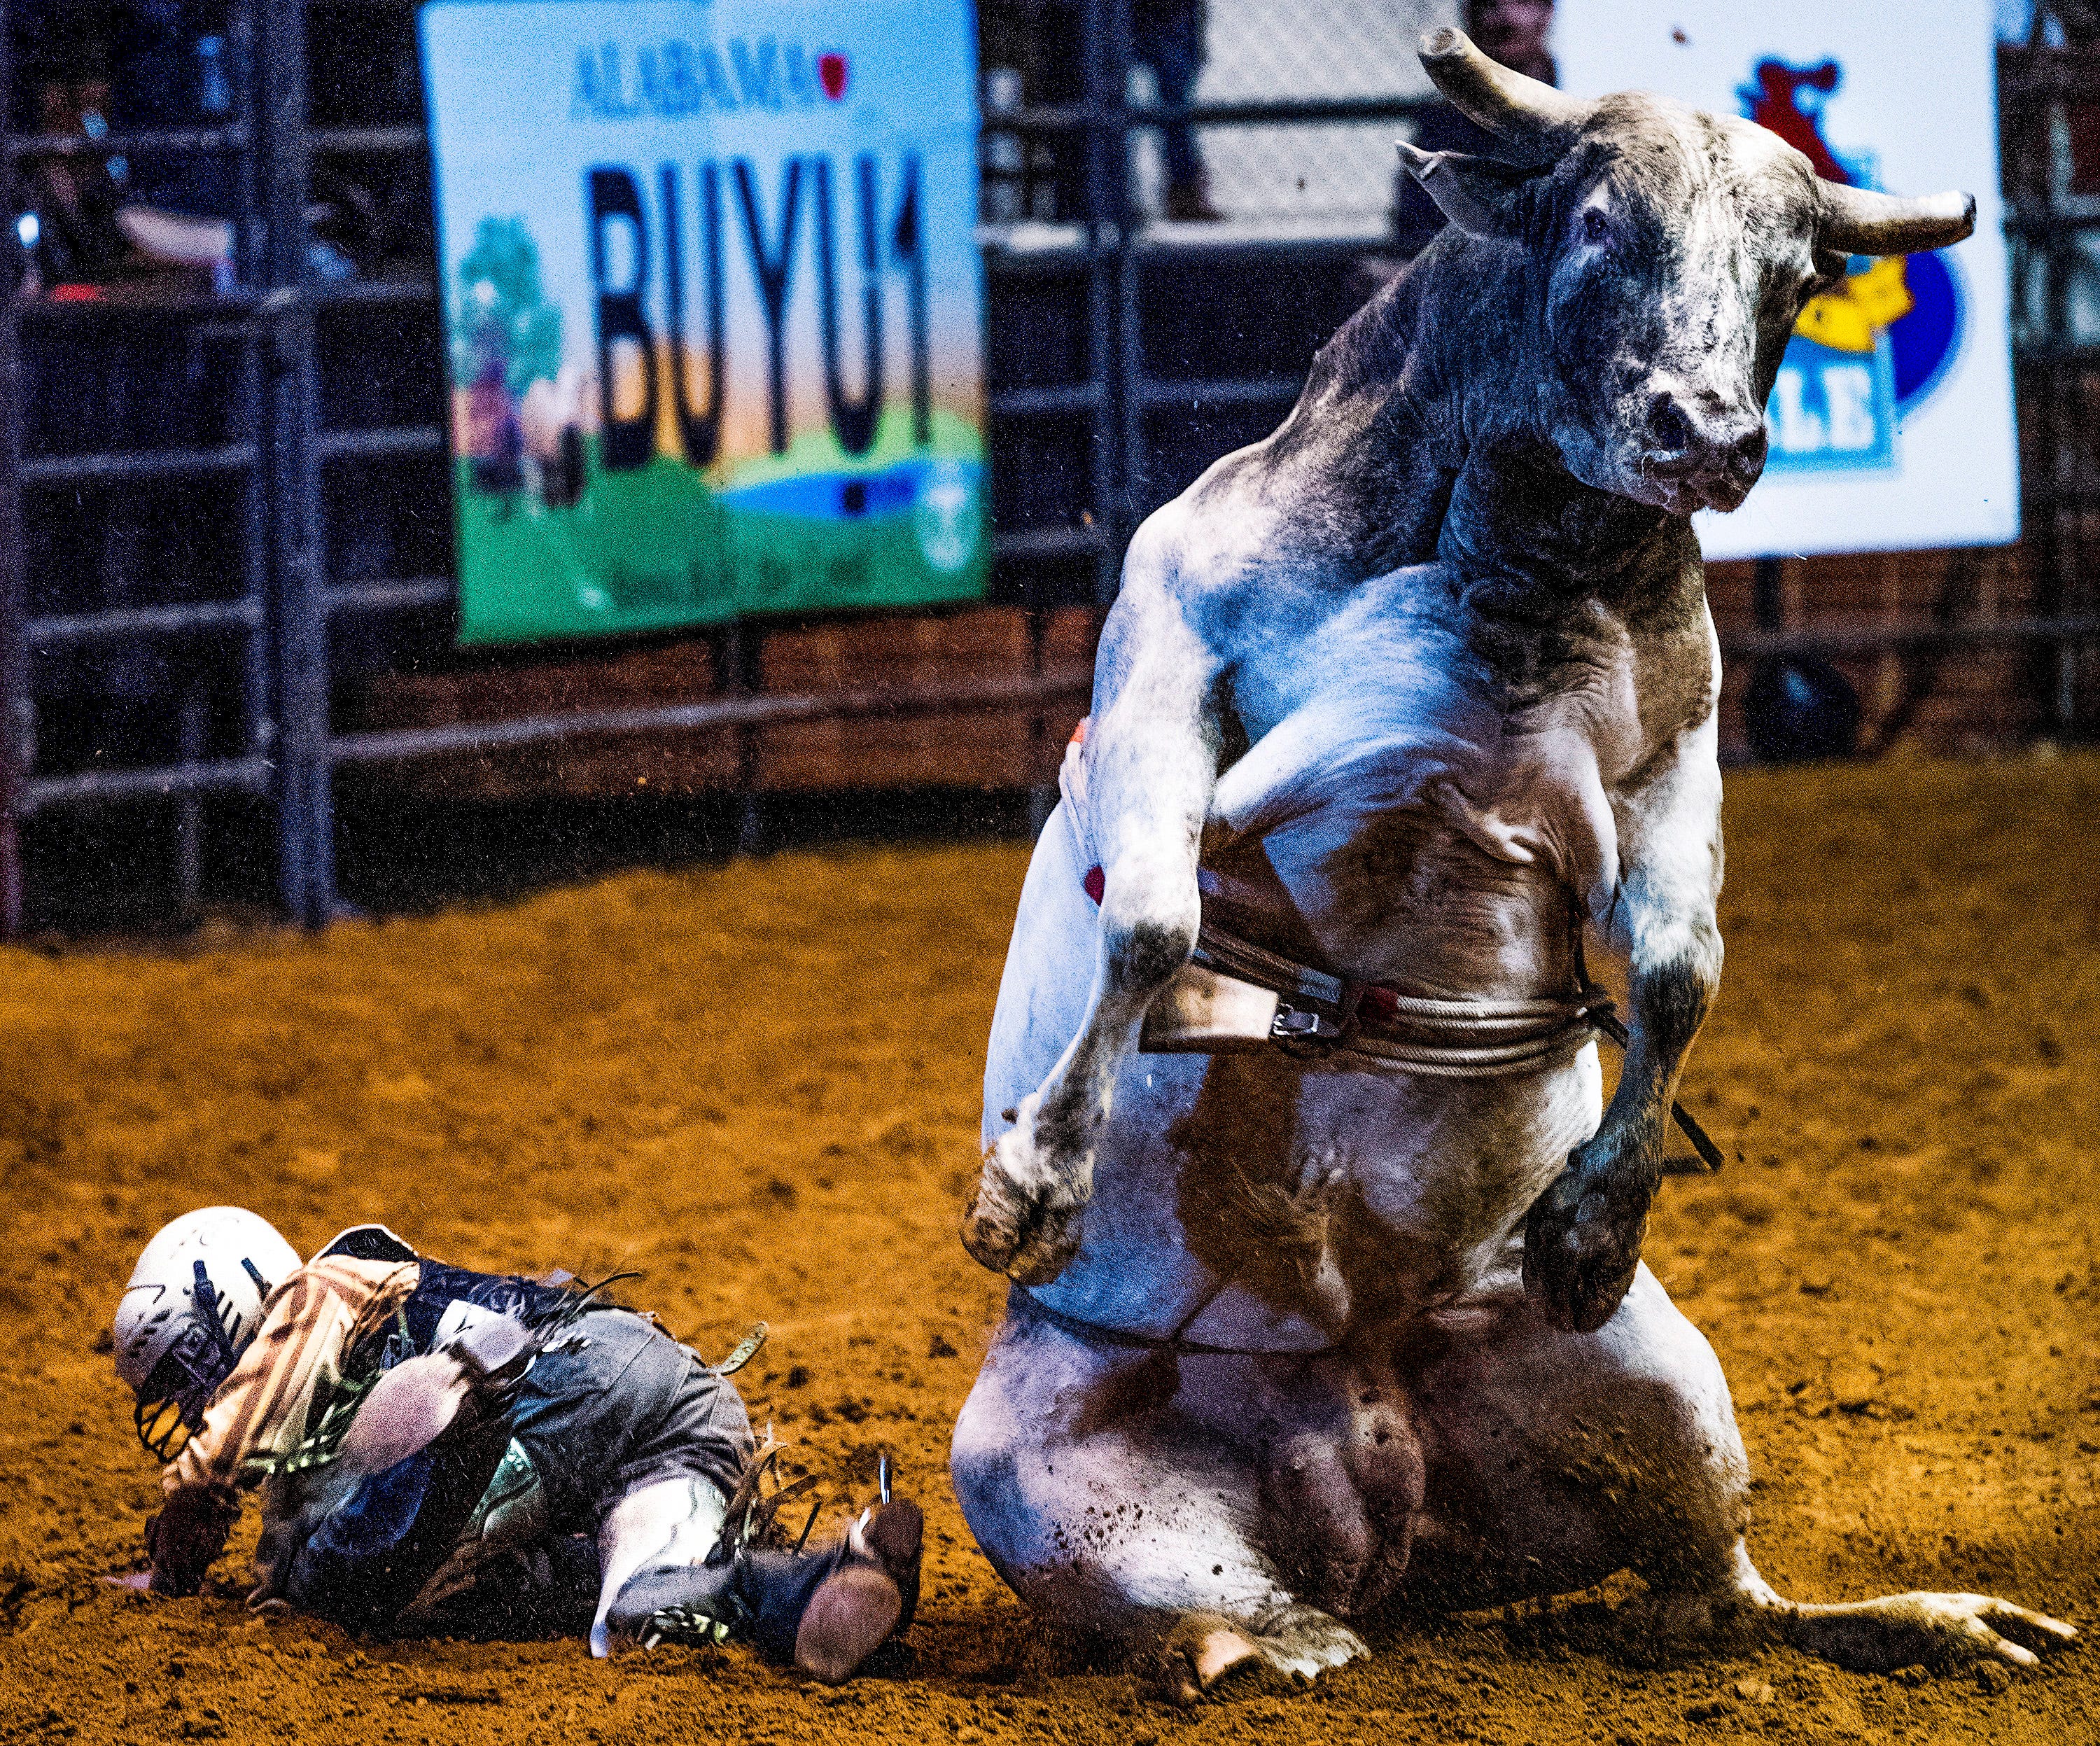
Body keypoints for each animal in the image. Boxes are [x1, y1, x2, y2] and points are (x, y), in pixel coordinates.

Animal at [948, 29, 2075, 1702]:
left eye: (1799, 272)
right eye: (1600, 221)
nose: (1711, 434)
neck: (1517, 568)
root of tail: (1365, 1460)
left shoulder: (1677, 754)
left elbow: (1678, 968)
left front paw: (1597, 1221)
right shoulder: (1166, 661)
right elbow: (1152, 919)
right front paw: (1031, 1186)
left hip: (1667, 1391)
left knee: (1721, 1597)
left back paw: (1941, 1620)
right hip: (1031, 1475)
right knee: (1218, 1611)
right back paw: (1270, 1641)